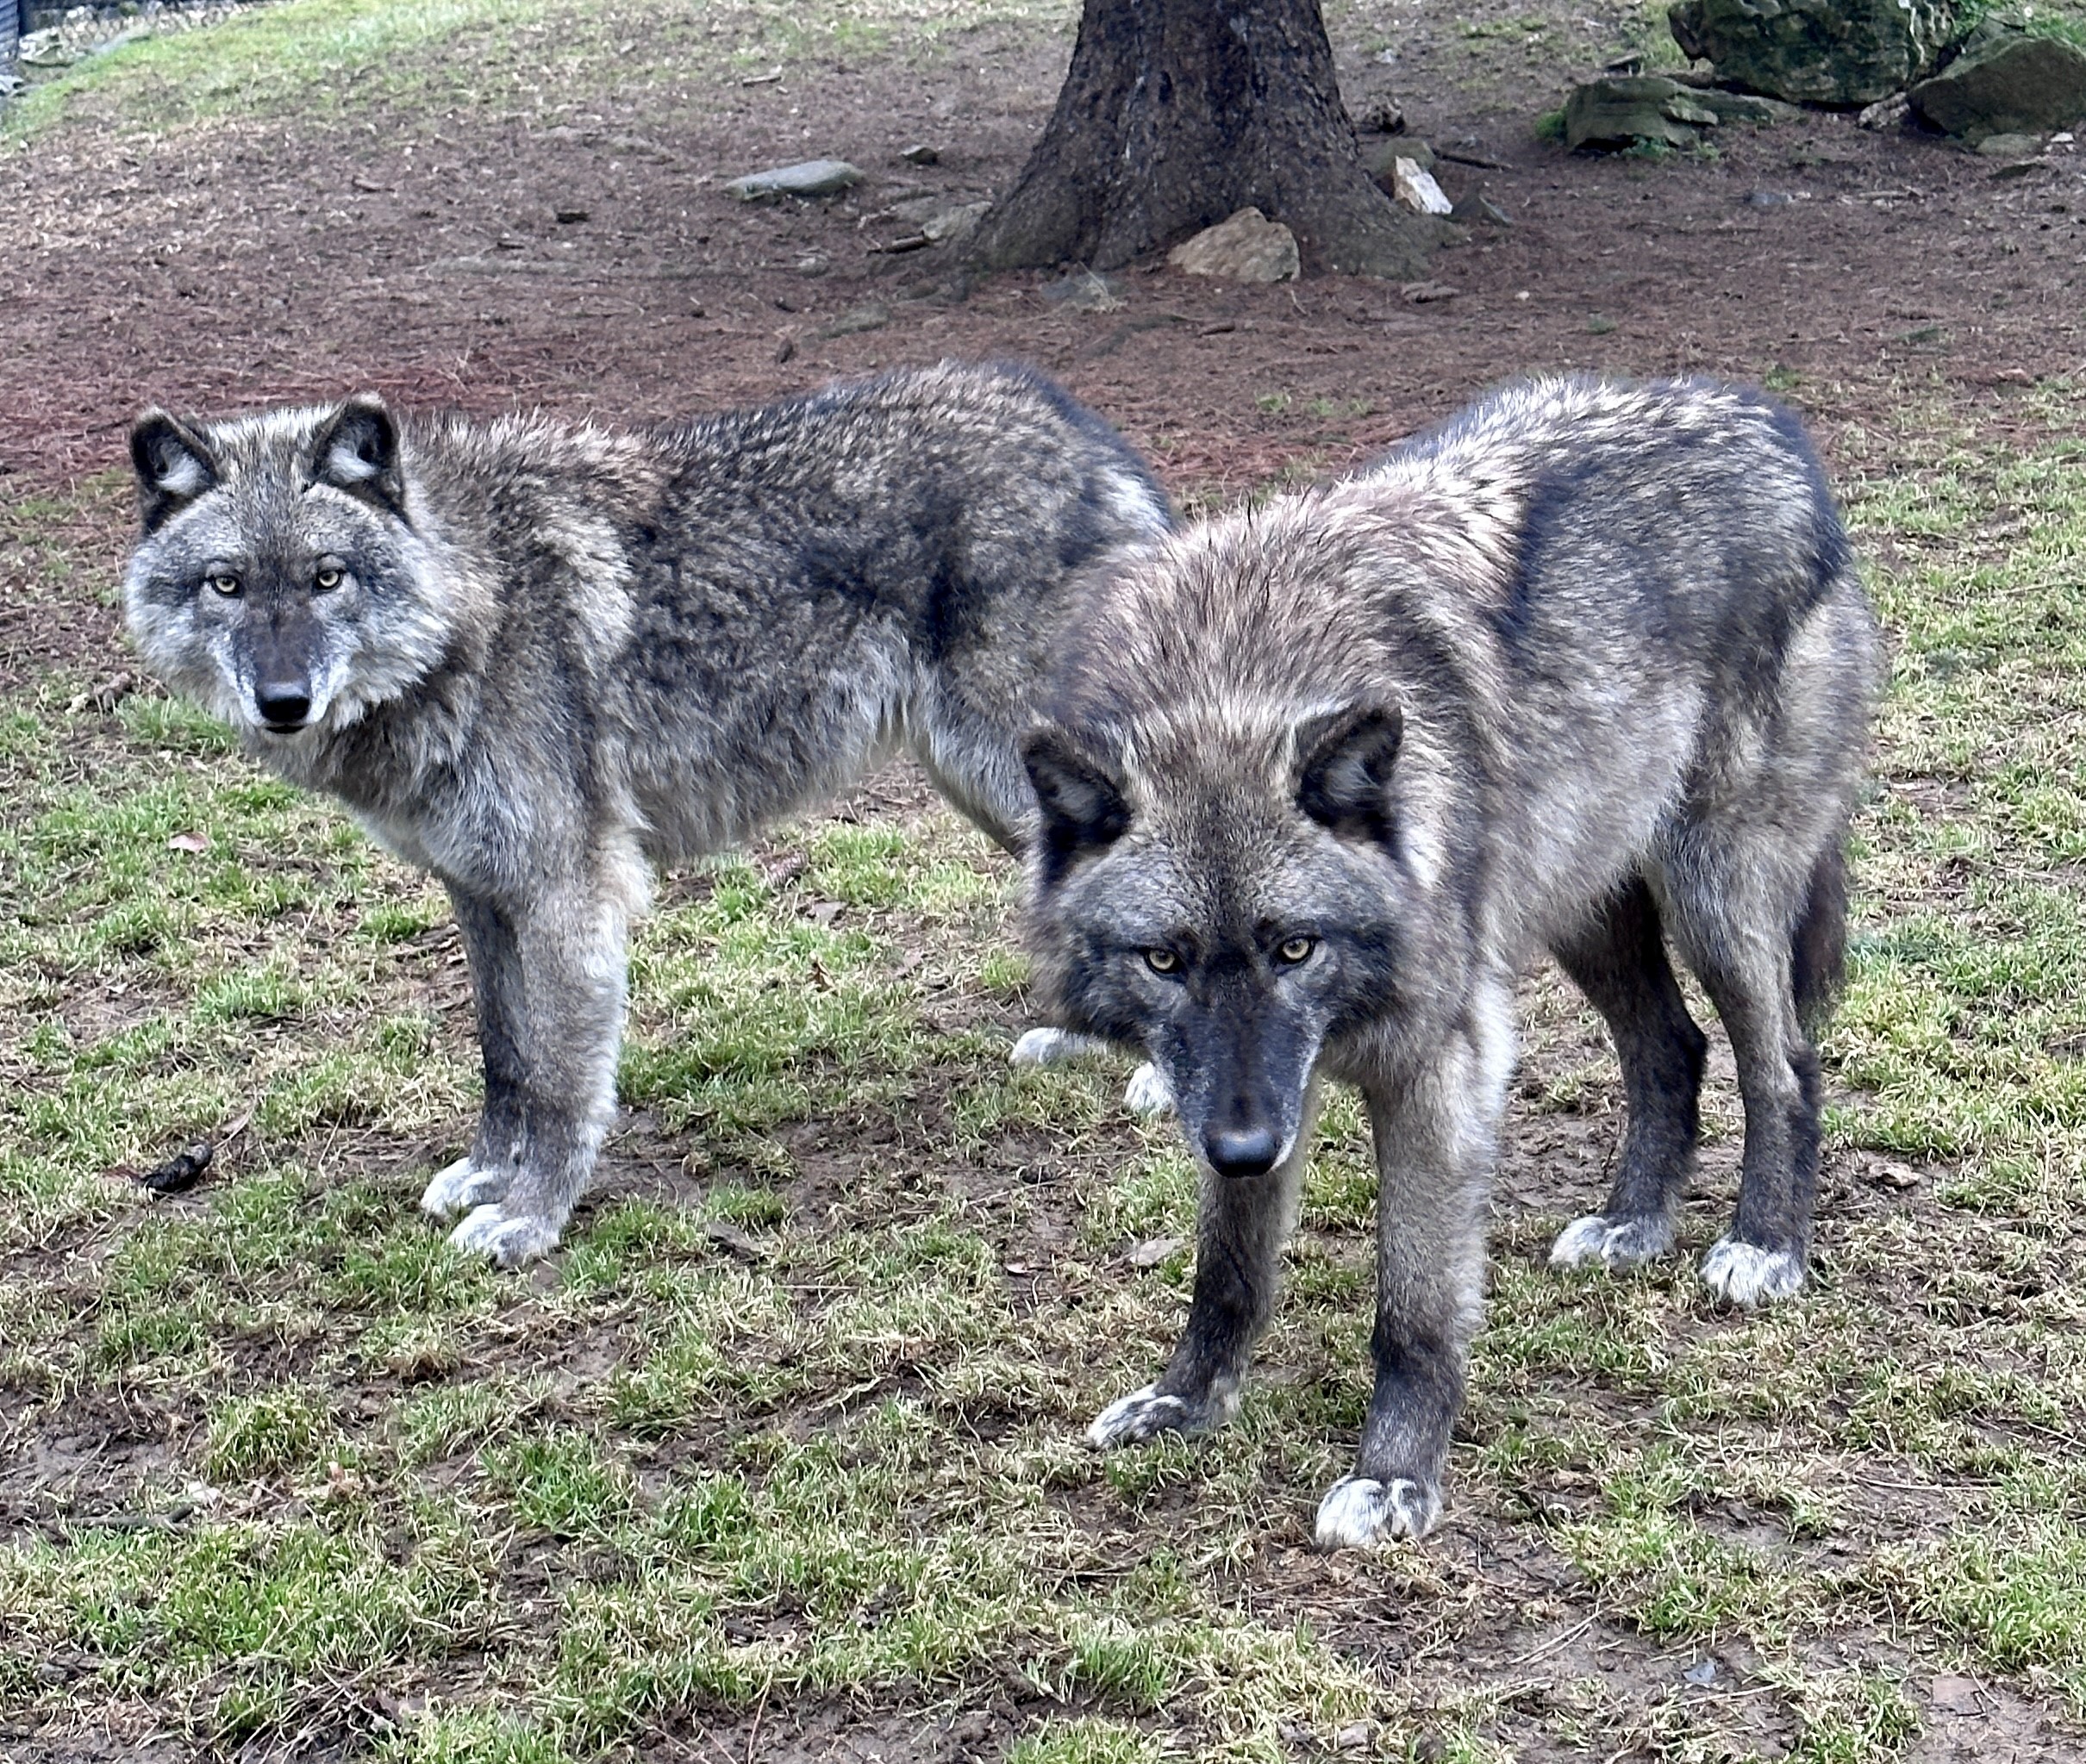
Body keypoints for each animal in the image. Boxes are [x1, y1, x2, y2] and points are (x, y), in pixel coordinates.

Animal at [124, 361, 1172, 1266]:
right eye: (227, 583)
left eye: (327, 575)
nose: (282, 700)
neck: (473, 602)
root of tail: (1091, 436)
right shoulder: (480, 891)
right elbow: (505, 1058)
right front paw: (489, 1175)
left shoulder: (566, 891)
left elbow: (560, 1081)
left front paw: (531, 1217)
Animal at [1019, 375, 1881, 1550]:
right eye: (1162, 958)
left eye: (1295, 947)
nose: (1240, 1147)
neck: (1235, 675)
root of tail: (1769, 427)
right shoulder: (1249, 1094)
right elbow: (1227, 1271)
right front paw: (1185, 1399)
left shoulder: (1436, 1067)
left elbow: (1413, 1308)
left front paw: (1391, 1476)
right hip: (1578, 910)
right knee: (1671, 1047)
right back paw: (1634, 1223)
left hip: (1710, 894)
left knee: (1780, 1063)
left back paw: (1764, 1244)